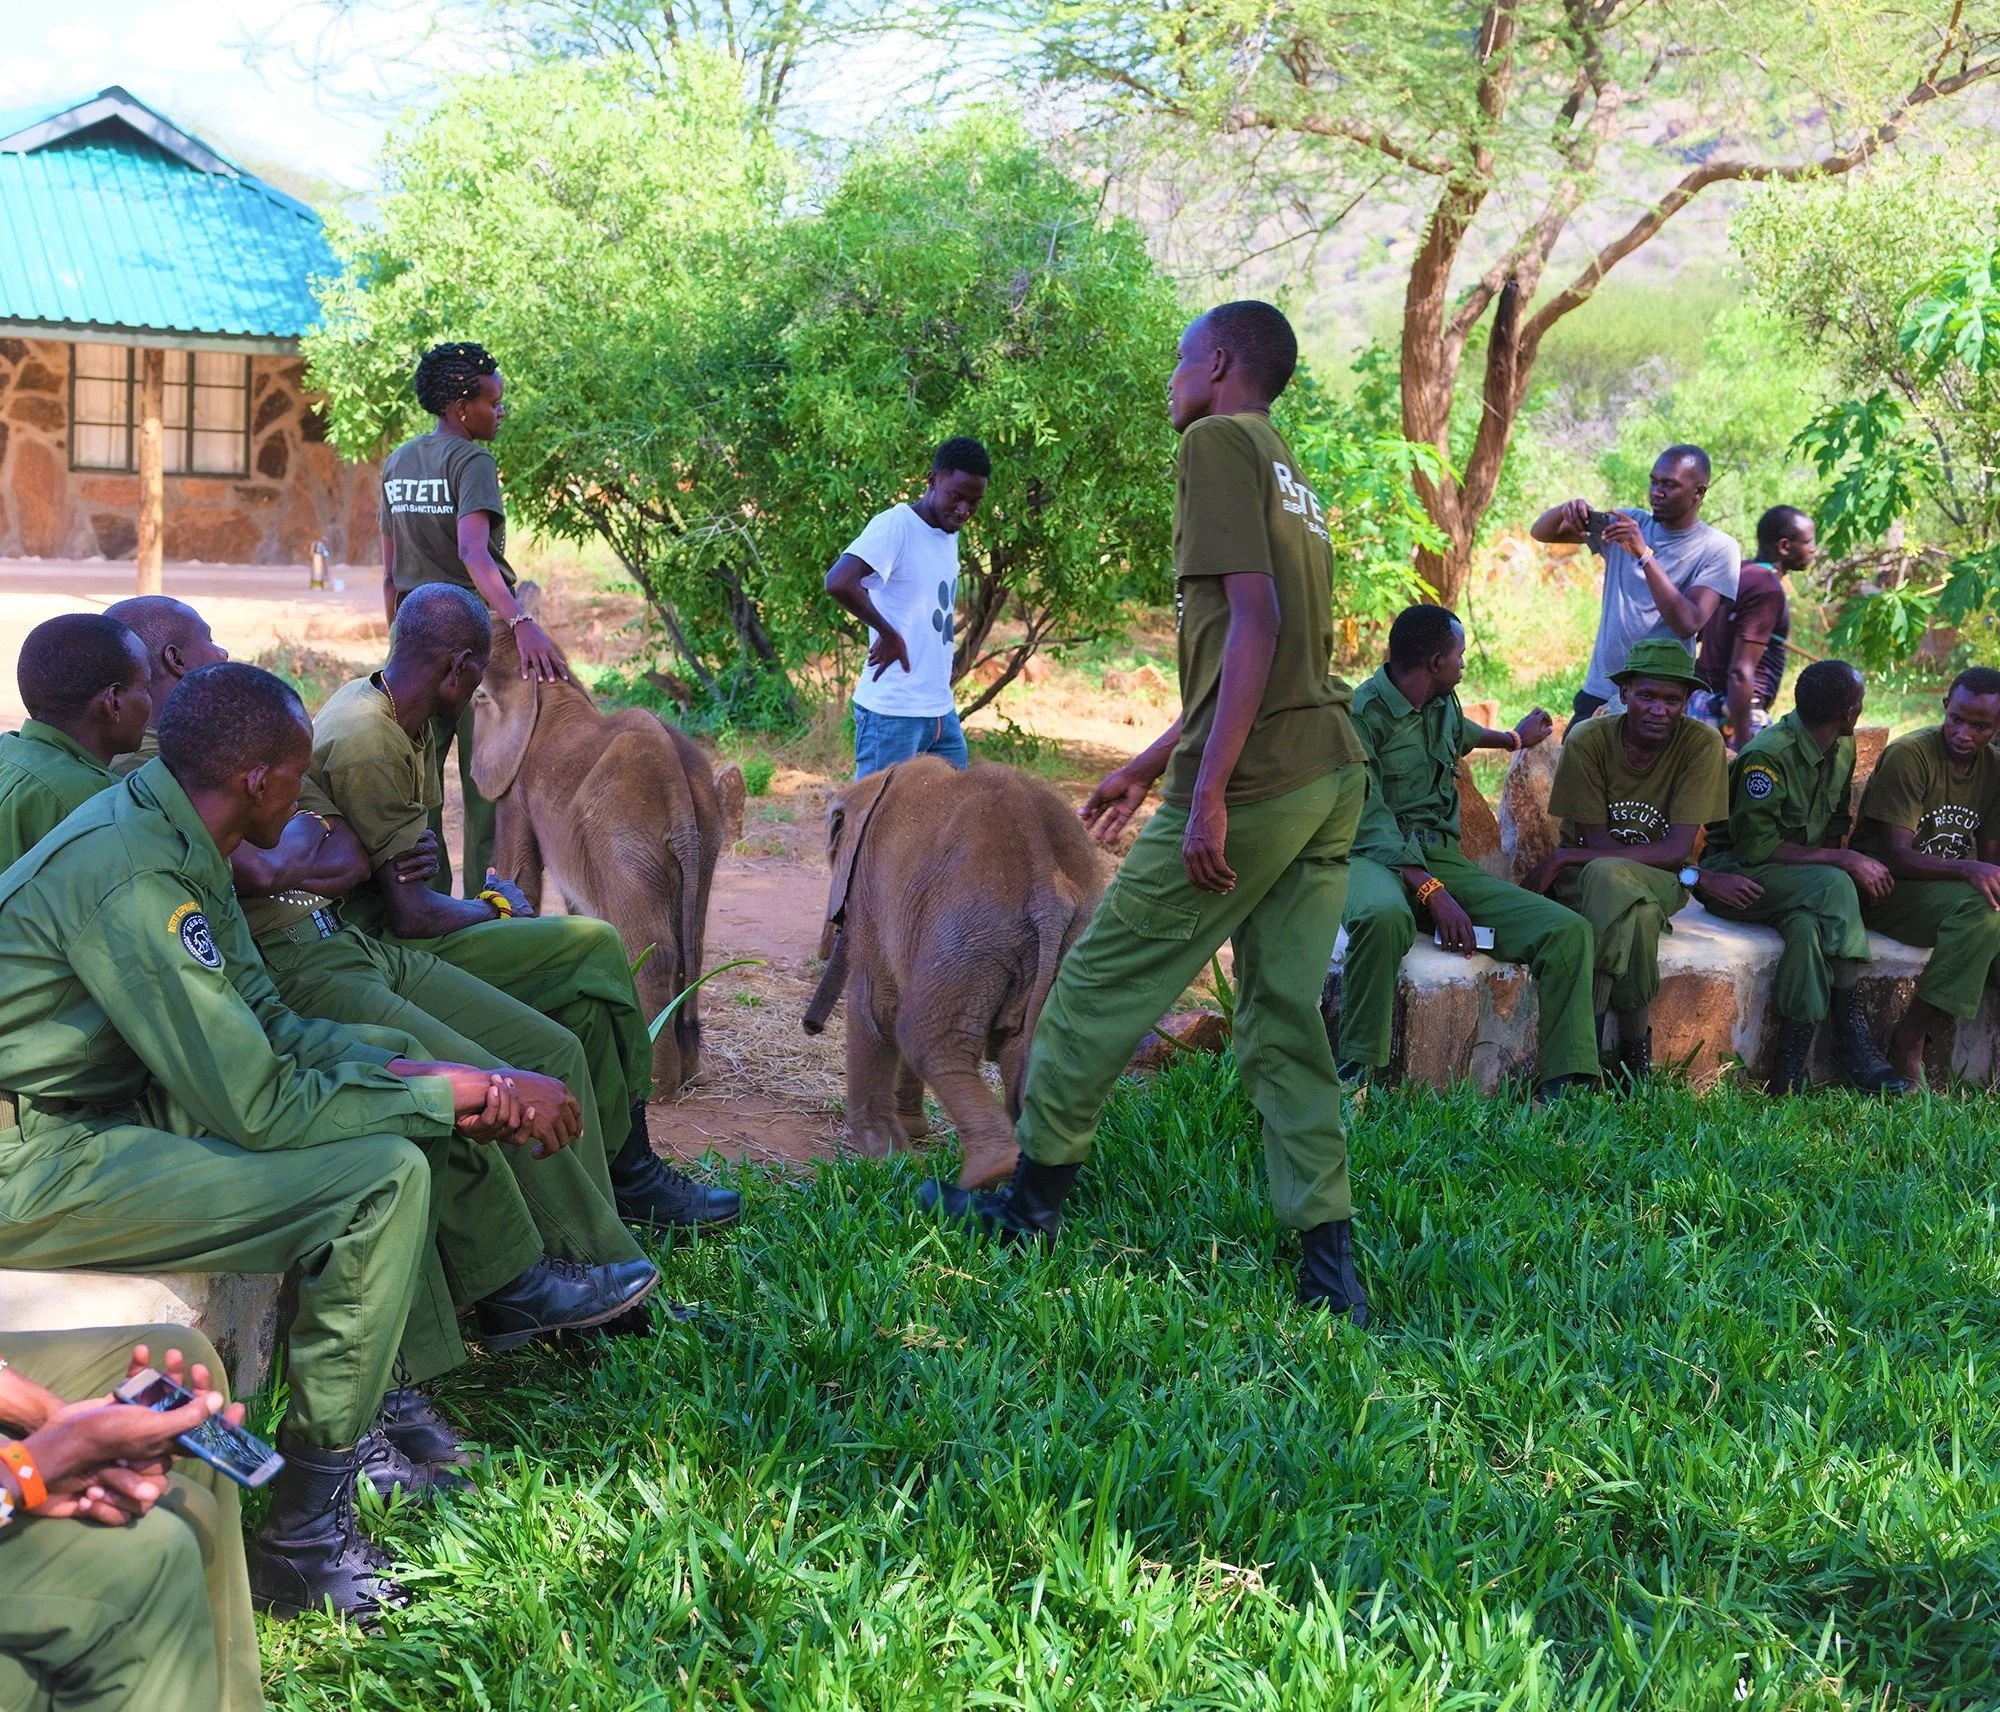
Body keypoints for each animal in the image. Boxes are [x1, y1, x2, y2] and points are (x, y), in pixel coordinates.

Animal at [470, 621, 739, 1098]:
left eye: (477, 698)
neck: (545, 685)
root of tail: (676, 786)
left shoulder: (518, 787)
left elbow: (518, 874)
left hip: (624, 835)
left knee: (655, 948)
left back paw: (654, 1085)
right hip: (705, 835)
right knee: (693, 942)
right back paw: (691, 1073)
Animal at [802, 756, 1108, 1188]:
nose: (811, 1026)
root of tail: (1051, 889)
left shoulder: (872, 890)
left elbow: (877, 1007)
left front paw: (882, 1156)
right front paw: (908, 1137)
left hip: (969, 932)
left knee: (923, 1036)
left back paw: (988, 1171)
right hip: (1071, 944)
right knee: (1034, 1050)